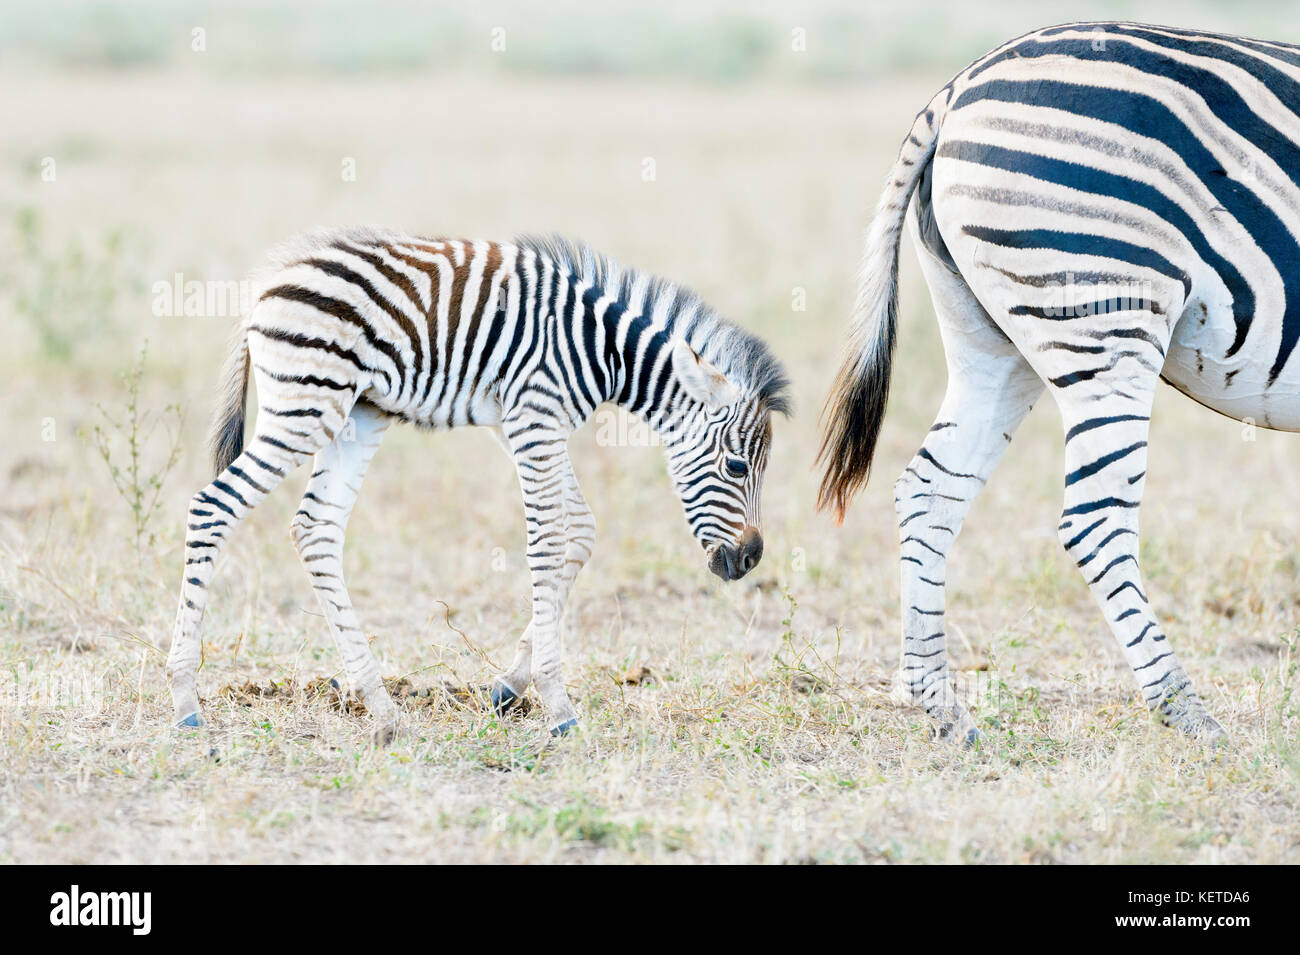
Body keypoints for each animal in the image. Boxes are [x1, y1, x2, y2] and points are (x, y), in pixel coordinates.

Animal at [169, 228, 789, 741]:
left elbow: (581, 531)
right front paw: (558, 706)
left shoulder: (524, 425)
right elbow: (547, 546)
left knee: (315, 529)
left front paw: (510, 687)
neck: (599, 348)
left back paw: (381, 709)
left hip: (358, 414)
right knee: (213, 506)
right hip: (307, 405)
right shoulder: (535, 419)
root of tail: (269, 284)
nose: (752, 559)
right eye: (737, 468)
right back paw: (185, 702)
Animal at [818, 21, 1300, 745]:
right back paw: (1184, 708)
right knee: (1095, 517)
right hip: (1107, 313)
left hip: (991, 339)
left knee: (930, 489)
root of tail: (956, 89)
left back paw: (942, 705)